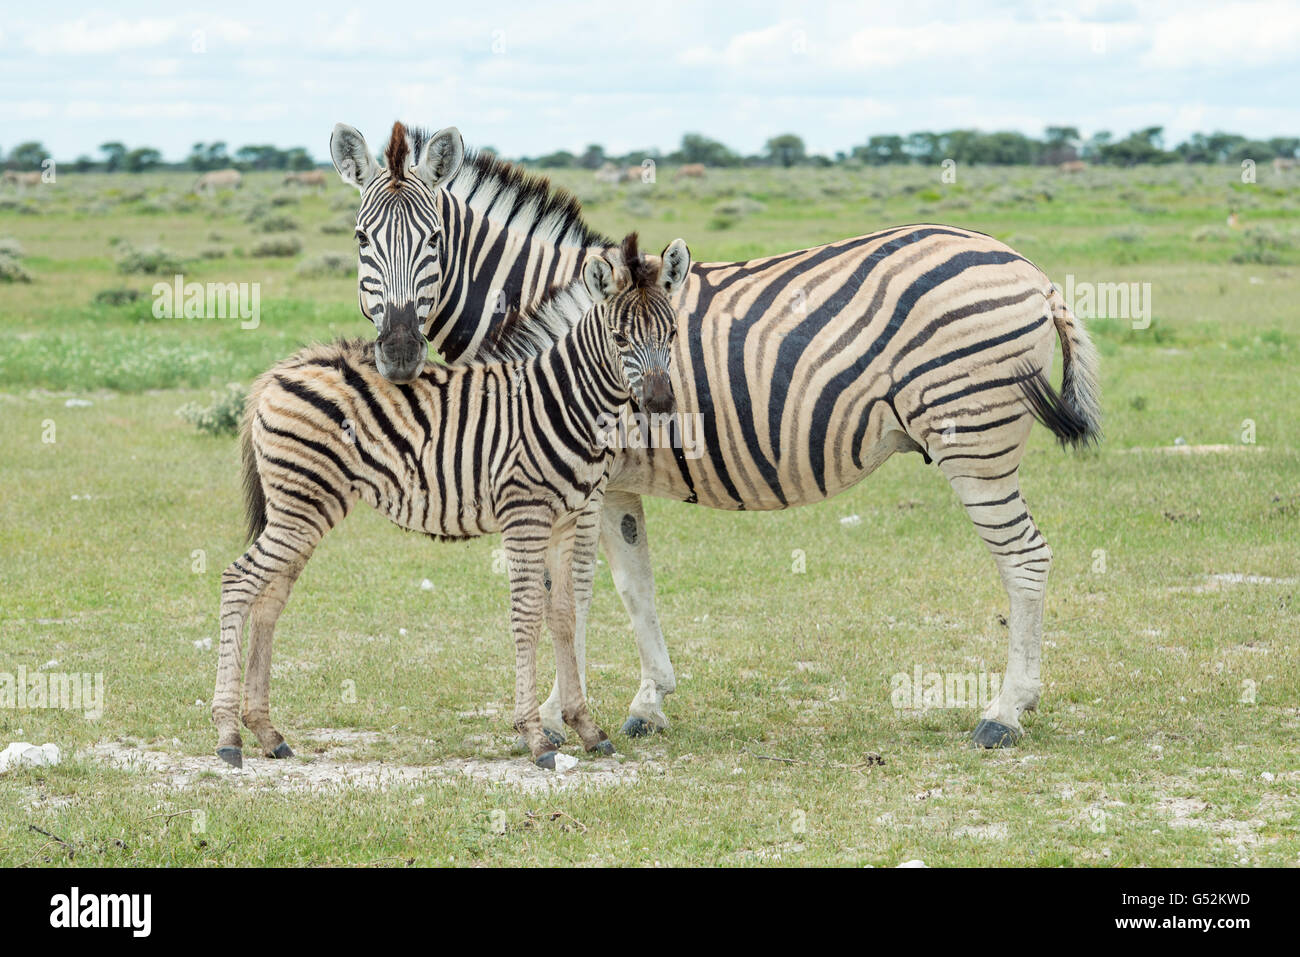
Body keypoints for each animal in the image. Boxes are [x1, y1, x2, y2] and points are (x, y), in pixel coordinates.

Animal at [211, 223, 692, 768]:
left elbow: (564, 614)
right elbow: (527, 613)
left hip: (306, 507)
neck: (564, 399)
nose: (660, 403)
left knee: (269, 597)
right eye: (619, 338)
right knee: (238, 581)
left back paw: (266, 731)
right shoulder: (525, 512)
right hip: (299, 503)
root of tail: (282, 369)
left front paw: (585, 727)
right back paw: (228, 735)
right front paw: (535, 735)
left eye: (672, 335)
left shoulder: (574, 515)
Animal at [328, 120, 1102, 750]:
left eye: (433, 241)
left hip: (974, 442)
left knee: (1025, 559)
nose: (399, 352)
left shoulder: (569, 479)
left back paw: (1005, 712)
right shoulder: (611, 484)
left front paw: (552, 714)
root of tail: (1031, 270)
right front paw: (648, 701)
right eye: (361, 240)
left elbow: (565, 597)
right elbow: (632, 584)